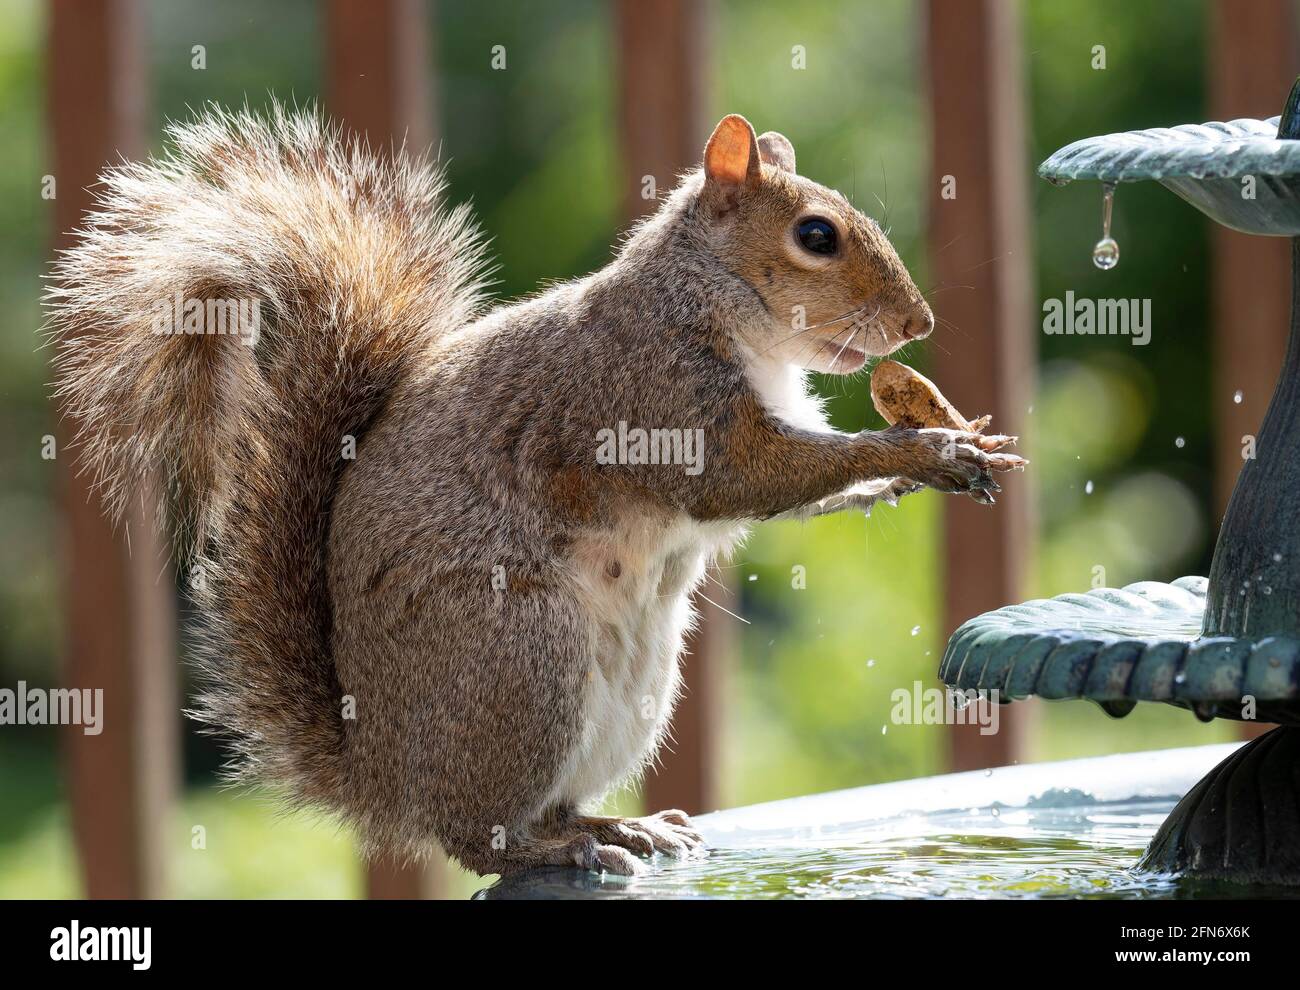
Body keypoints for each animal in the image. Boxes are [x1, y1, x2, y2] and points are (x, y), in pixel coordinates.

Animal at [47, 104, 1023, 877]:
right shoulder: (656, 401)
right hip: (520, 653)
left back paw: (621, 827)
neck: (711, 301)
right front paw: (923, 447)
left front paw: (919, 464)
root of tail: (381, 777)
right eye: (816, 235)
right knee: (479, 840)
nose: (918, 323)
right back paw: (559, 849)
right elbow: (747, 477)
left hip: (631, 685)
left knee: (547, 805)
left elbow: (804, 487)